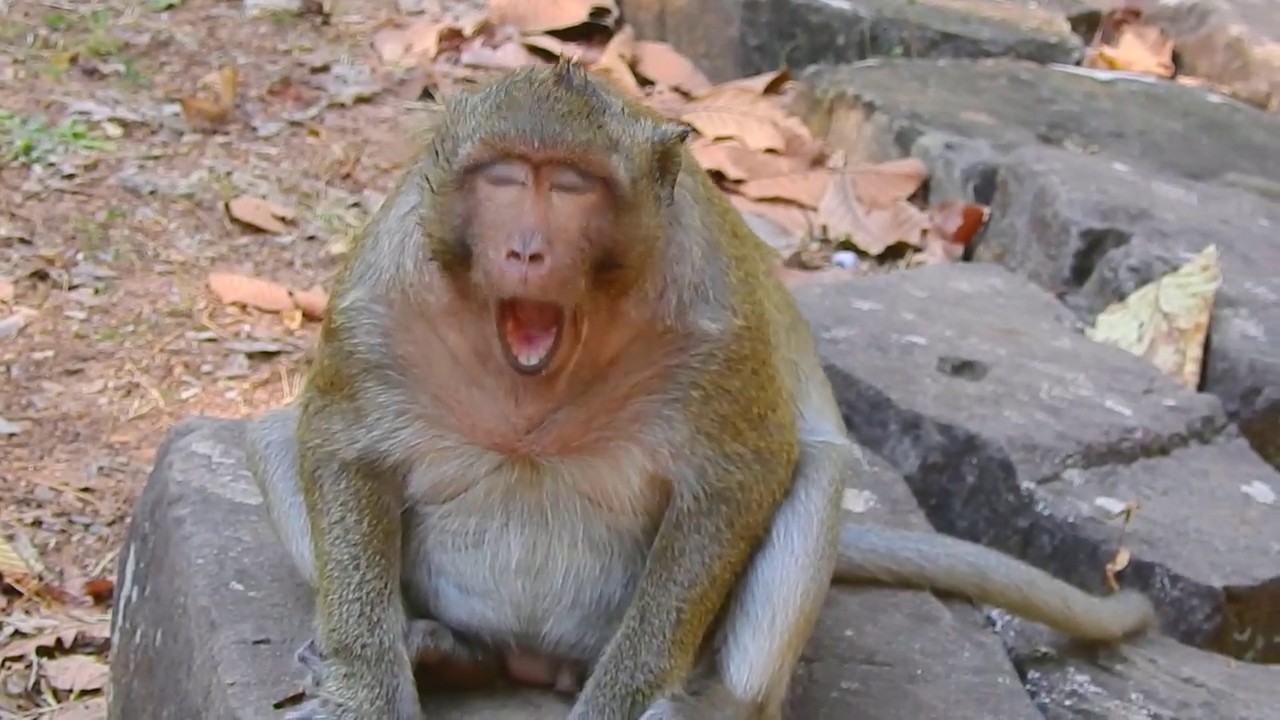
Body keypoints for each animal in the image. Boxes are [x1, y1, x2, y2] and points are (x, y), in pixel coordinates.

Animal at [244, 60, 1156, 720]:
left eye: (569, 185)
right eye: (503, 178)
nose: (528, 249)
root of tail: (532, 658)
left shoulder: (714, 325)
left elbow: (735, 484)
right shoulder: (374, 295)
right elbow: (340, 450)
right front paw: (363, 686)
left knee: (814, 481)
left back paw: (710, 703)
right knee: (272, 439)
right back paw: (446, 651)